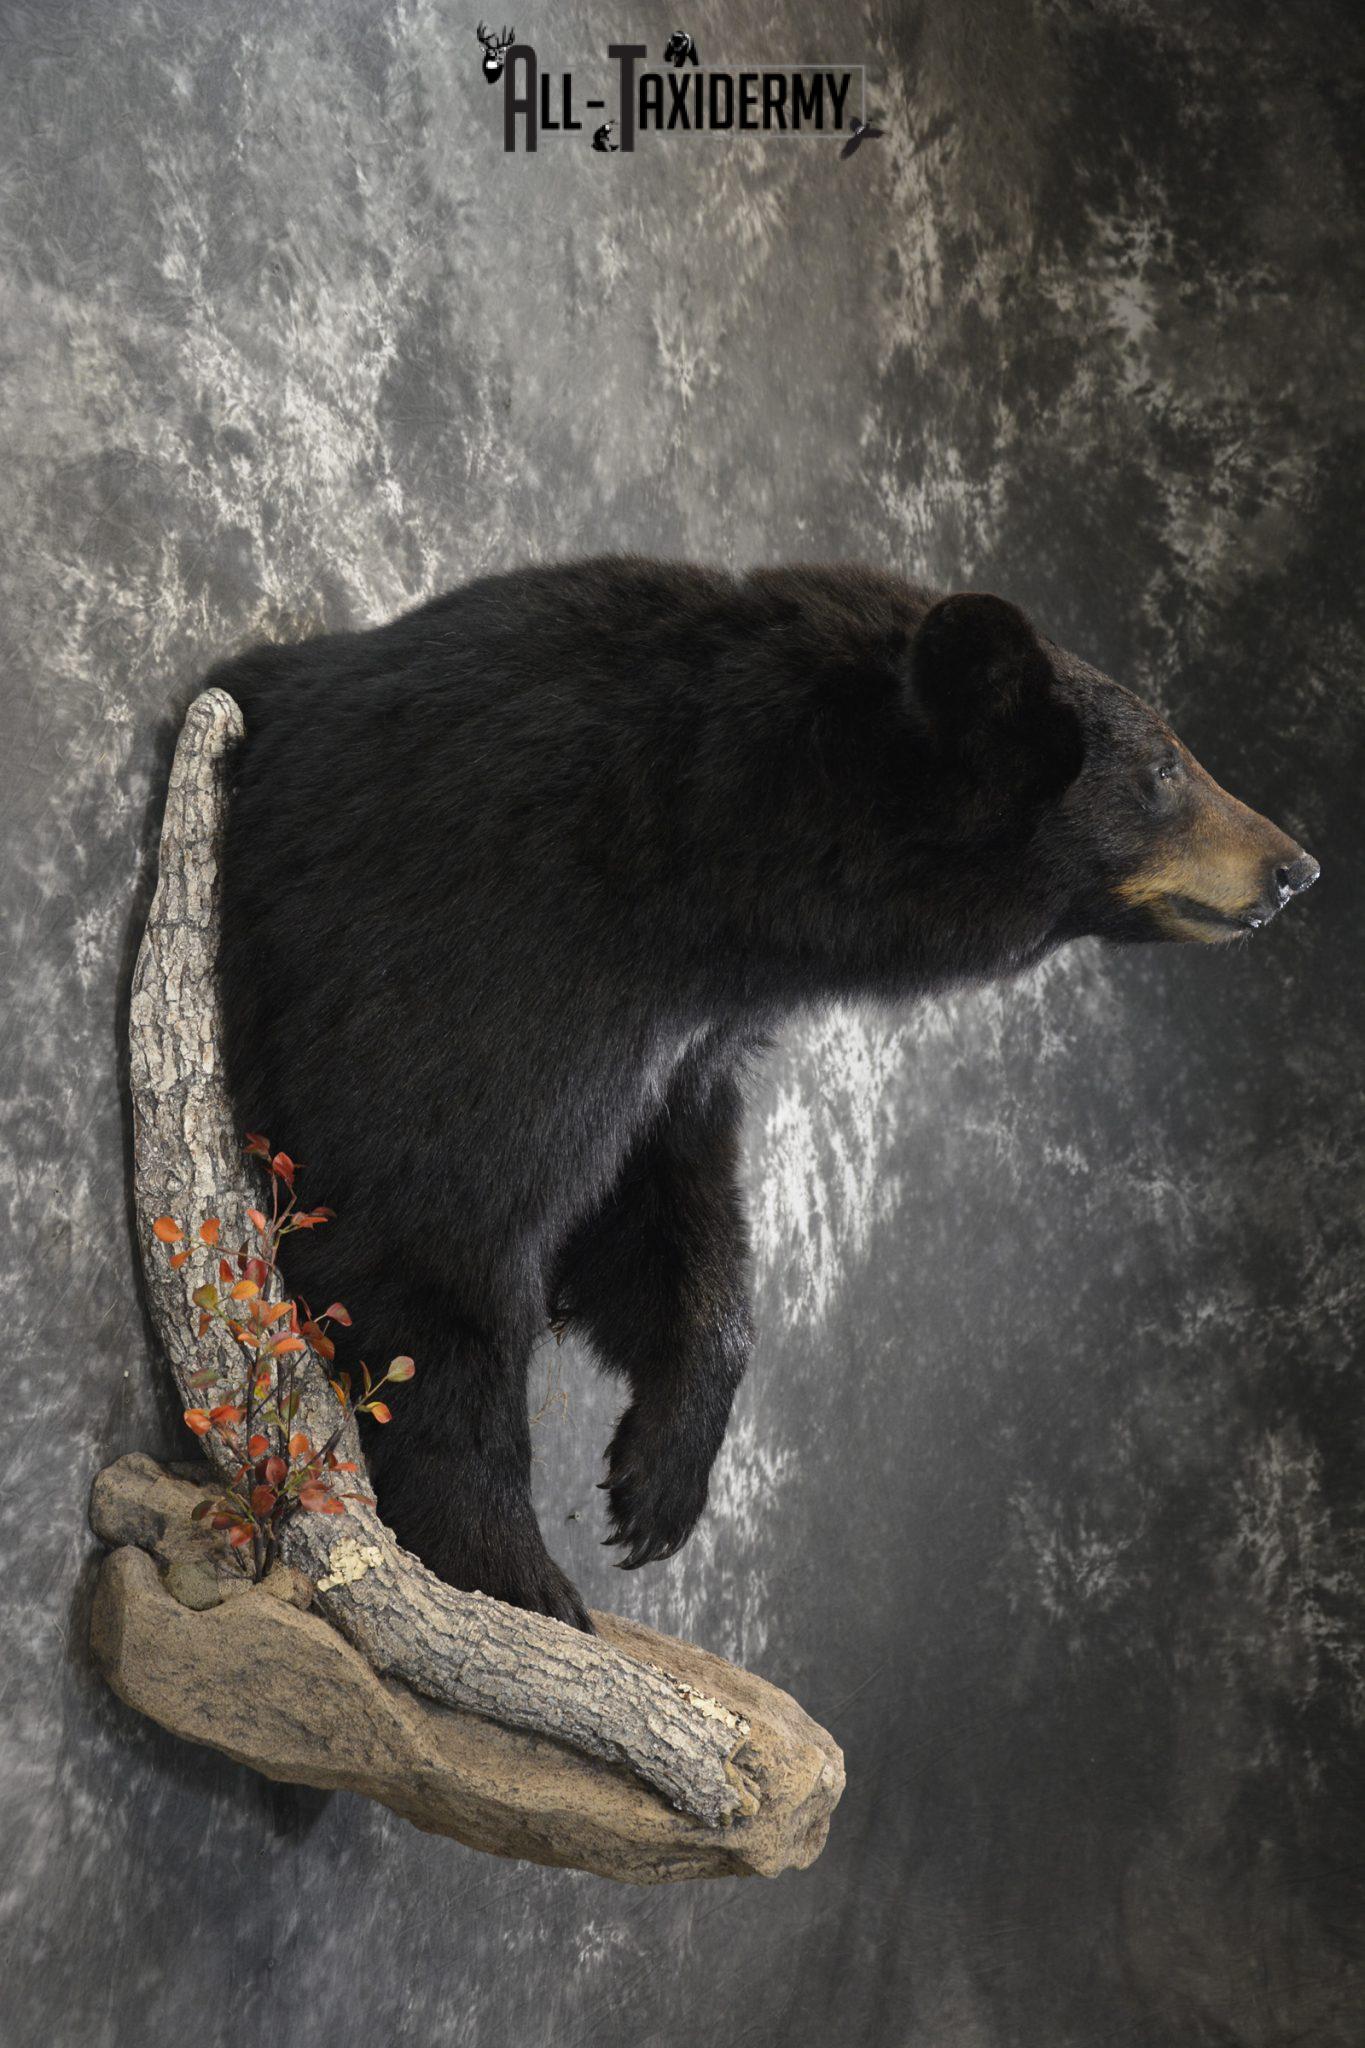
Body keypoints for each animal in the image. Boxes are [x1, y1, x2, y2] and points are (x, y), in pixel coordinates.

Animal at [213, 556, 1319, 1630]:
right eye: (1165, 766)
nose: (1296, 866)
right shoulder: (501, 934)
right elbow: (425, 1208)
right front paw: (513, 1568)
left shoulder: (679, 1050)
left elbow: (667, 1214)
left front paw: (658, 1480)